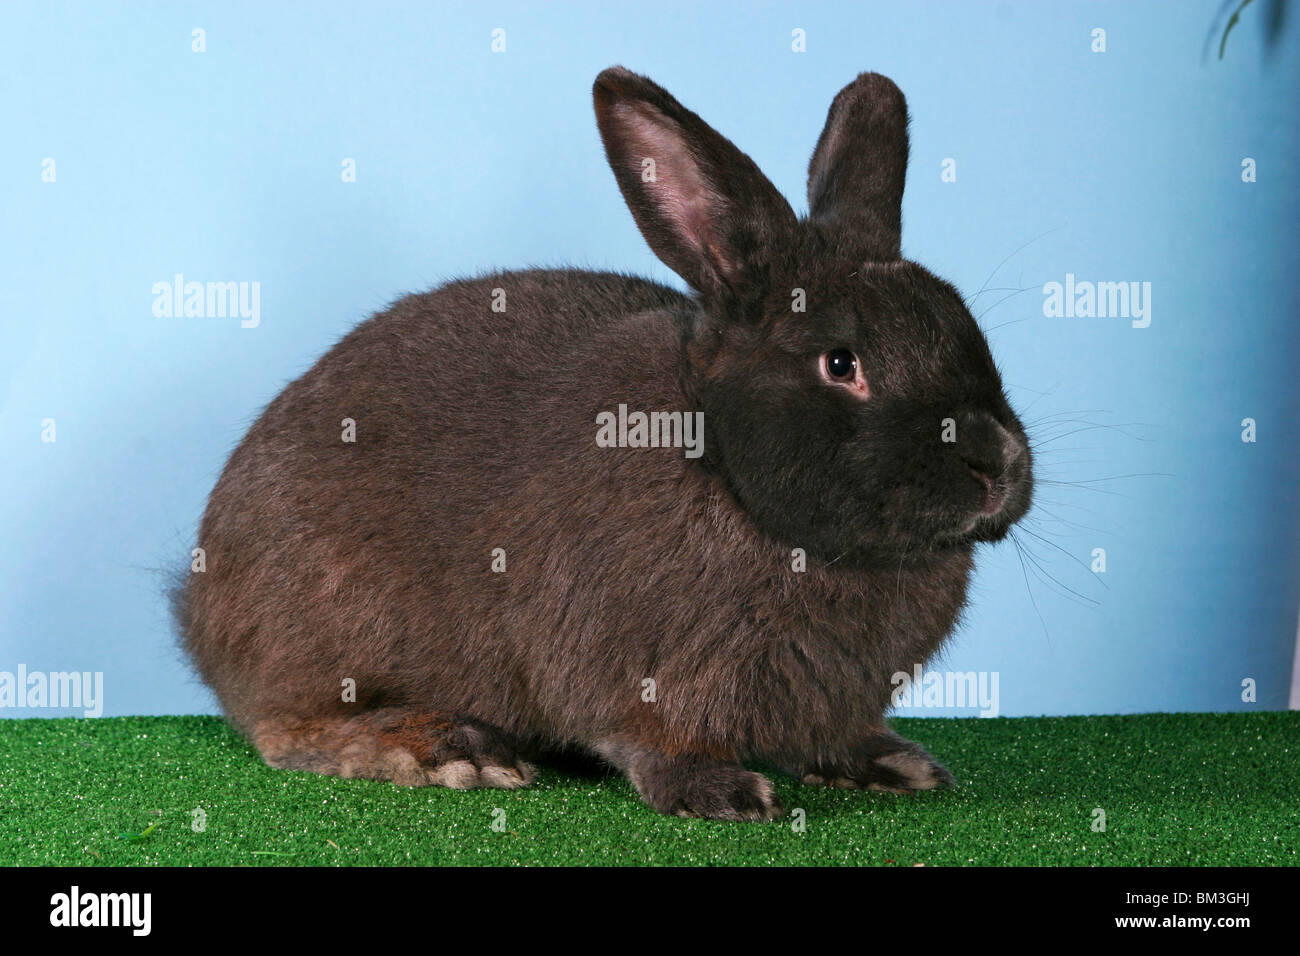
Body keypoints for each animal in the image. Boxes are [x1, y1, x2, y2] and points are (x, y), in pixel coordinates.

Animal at [176, 66, 1033, 821]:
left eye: (965, 327)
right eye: (841, 363)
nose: (998, 465)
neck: (727, 473)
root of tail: (198, 605)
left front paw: (890, 763)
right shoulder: (629, 671)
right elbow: (648, 738)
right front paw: (718, 794)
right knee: (286, 727)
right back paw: (446, 749)